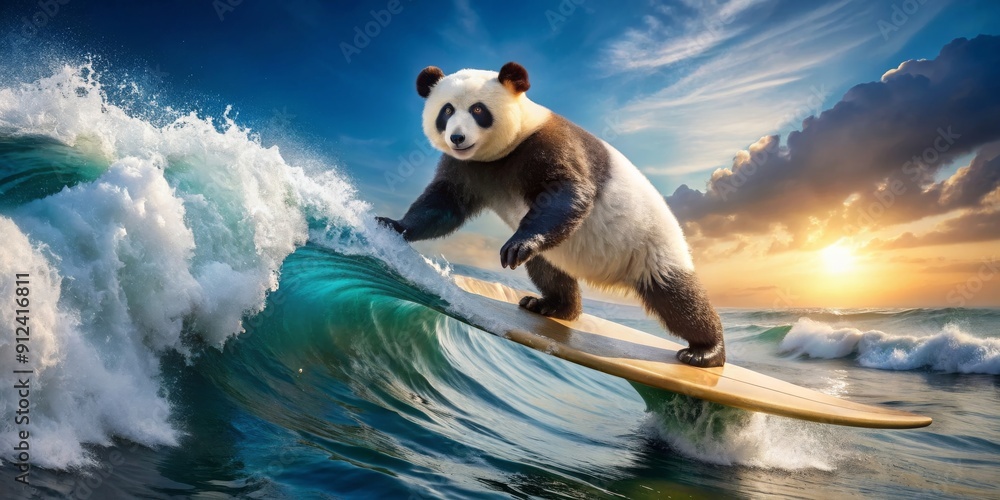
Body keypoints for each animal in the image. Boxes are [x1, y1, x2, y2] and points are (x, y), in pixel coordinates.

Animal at [377, 62, 726, 368]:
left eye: (478, 110)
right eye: (446, 111)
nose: (457, 138)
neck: (499, 153)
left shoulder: (545, 143)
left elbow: (569, 190)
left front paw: (517, 244)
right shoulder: (469, 168)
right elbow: (443, 204)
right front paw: (392, 225)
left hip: (652, 246)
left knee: (678, 298)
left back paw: (706, 352)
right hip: (560, 253)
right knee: (549, 273)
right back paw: (553, 307)